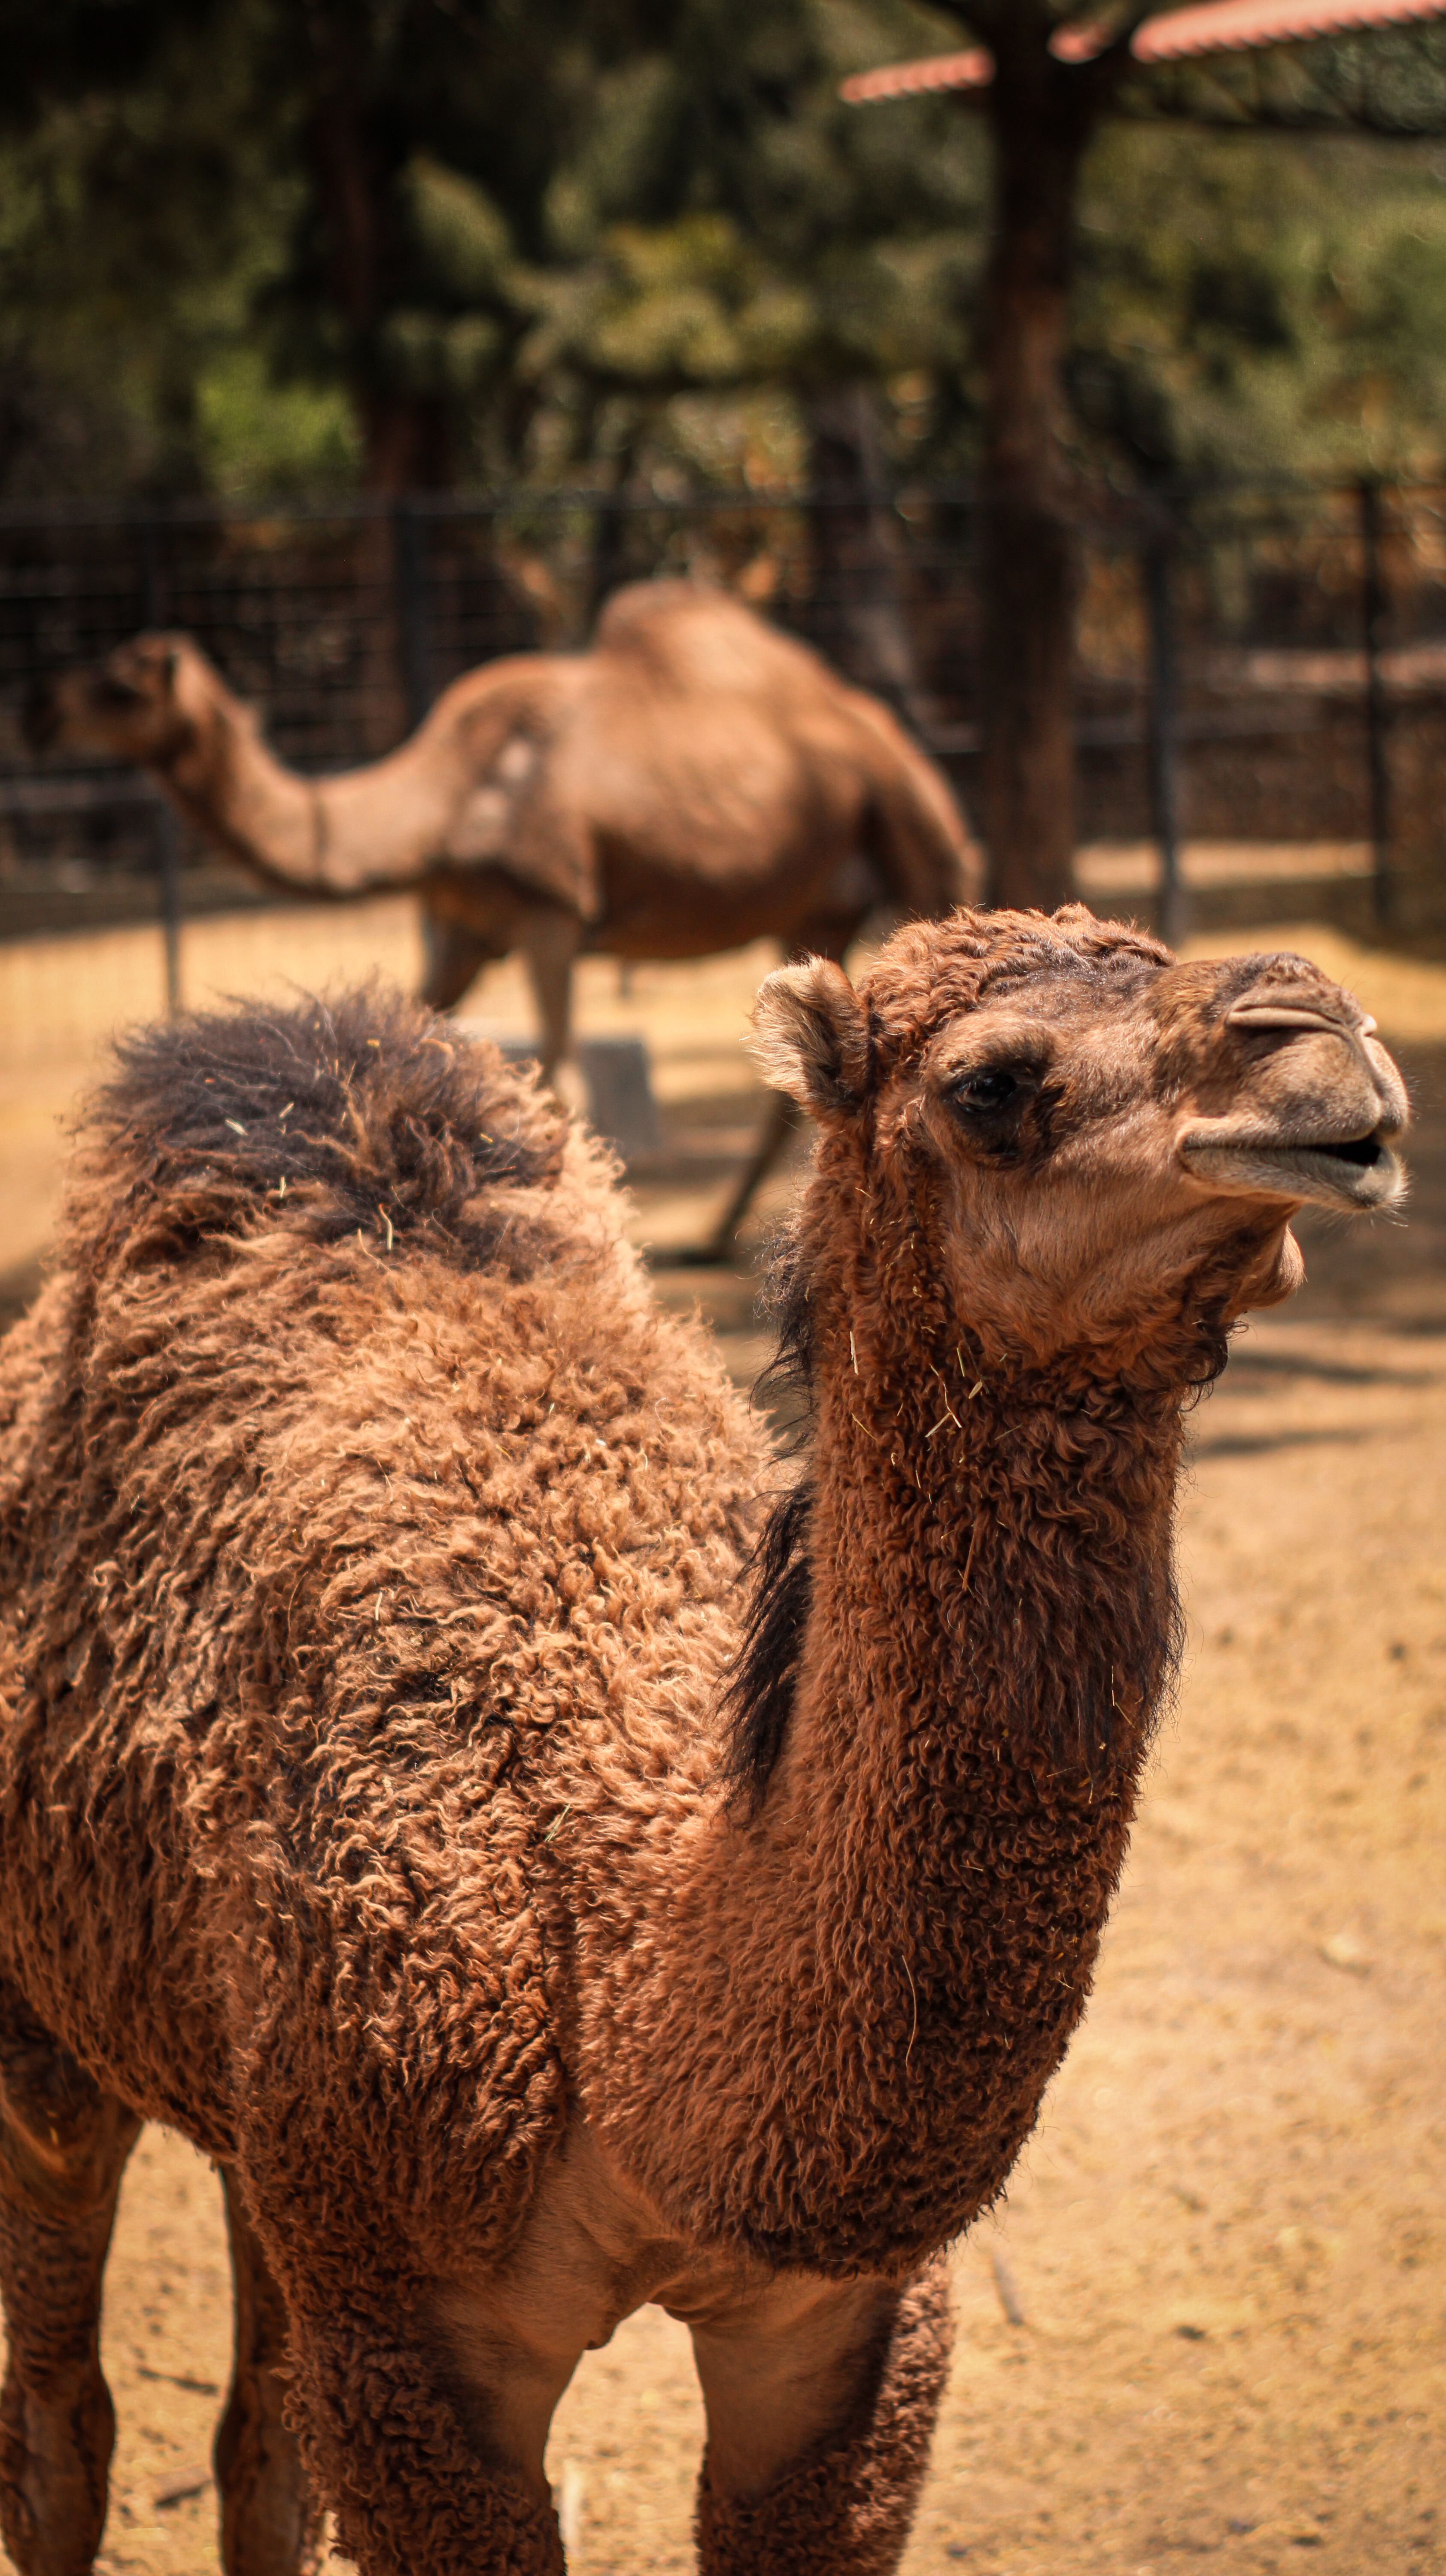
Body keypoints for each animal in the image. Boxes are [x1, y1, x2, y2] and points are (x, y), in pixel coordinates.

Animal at [0, 908, 1406, 2576]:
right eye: (991, 1083)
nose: (1320, 1034)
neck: (621, 1965)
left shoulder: (843, 2339)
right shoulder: (411, 2345)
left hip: (249, 2100)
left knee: (253, 2430)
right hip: (48, 2035)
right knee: (64, 2423)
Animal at [26, 580, 979, 1252]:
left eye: (119, 687)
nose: (40, 710)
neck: (447, 800)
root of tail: (887, 732)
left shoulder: (550, 911)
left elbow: (555, 1071)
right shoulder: (463, 926)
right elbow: (413, 1034)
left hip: (914, 836)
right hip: (810, 904)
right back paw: (717, 1233)